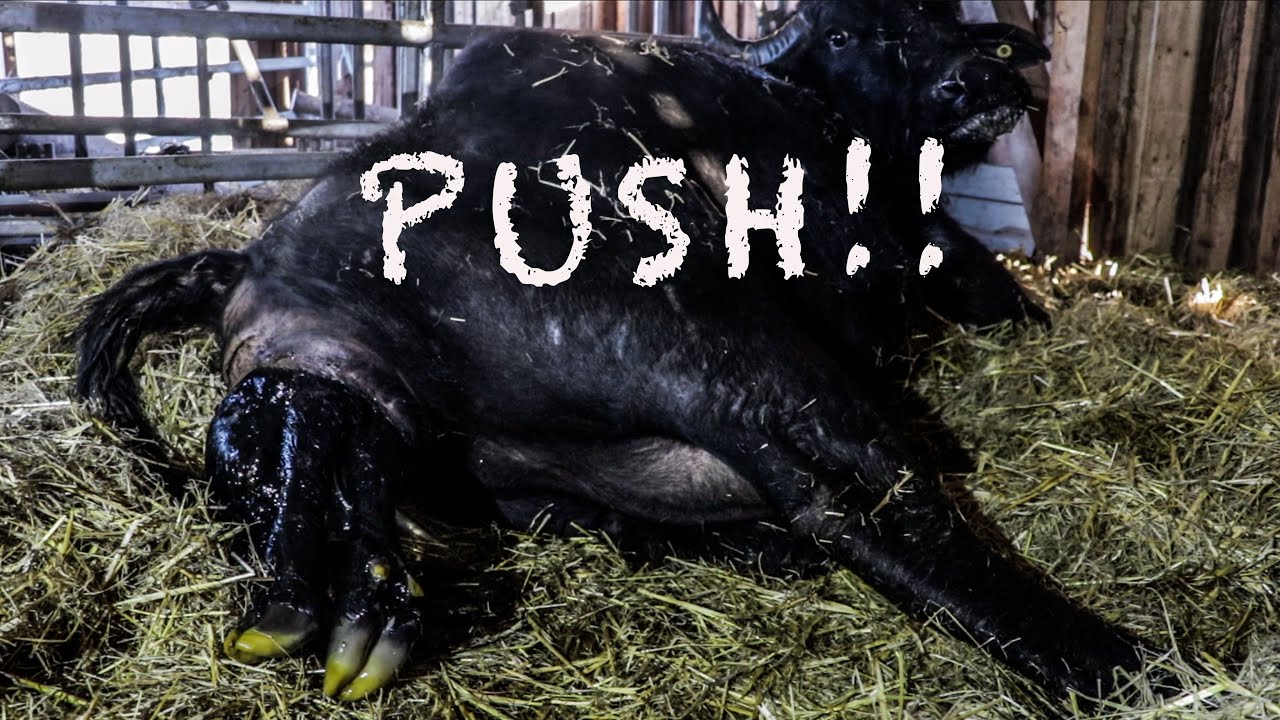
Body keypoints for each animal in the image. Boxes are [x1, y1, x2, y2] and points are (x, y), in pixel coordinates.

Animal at [76, 0, 1166, 704]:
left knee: (296, 416)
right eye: (853, 32)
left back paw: (341, 596)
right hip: (728, 356)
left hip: (437, 418)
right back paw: (1121, 659)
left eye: (953, 25)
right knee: (867, 497)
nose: (983, 76)